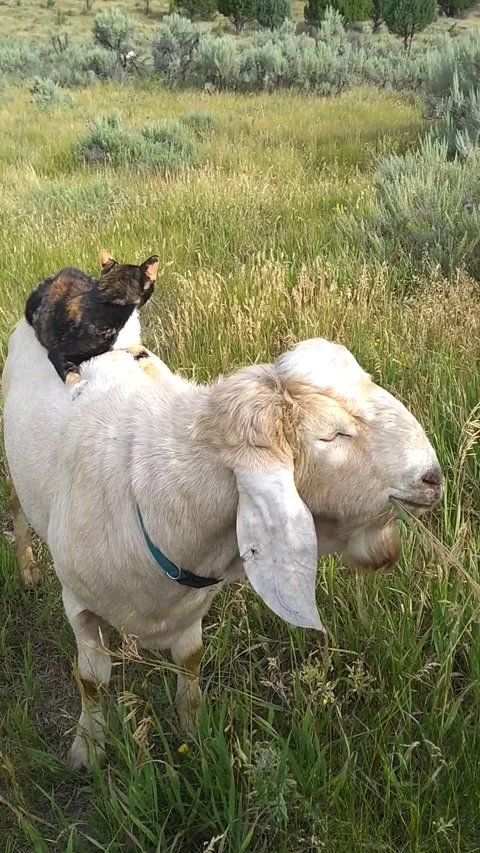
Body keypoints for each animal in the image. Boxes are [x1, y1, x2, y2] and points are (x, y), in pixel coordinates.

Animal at [2, 321, 442, 770]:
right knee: (16, 507)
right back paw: (28, 569)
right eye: (331, 435)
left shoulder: (189, 611)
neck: (146, 492)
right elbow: (92, 681)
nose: (432, 477)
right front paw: (87, 748)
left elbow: (190, 661)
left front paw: (192, 733)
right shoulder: (78, 603)